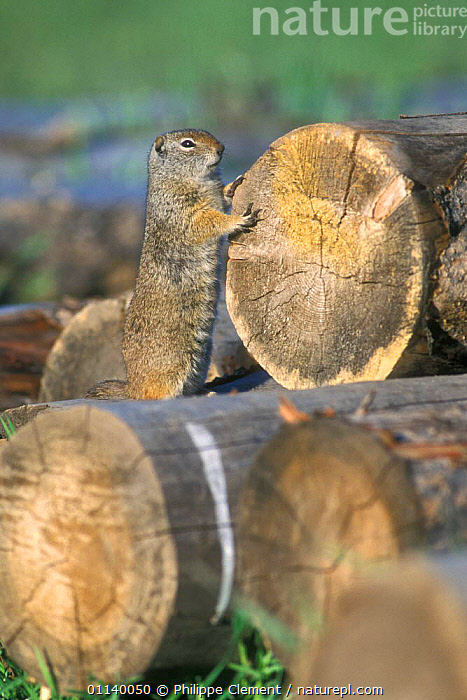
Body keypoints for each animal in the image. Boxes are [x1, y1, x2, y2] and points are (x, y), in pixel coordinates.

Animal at [85, 128, 259, 400]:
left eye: (208, 132)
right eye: (187, 144)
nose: (220, 148)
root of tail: (132, 388)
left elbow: (223, 196)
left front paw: (234, 184)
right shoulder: (185, 212)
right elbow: (211, 221)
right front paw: (240, 219)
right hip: (173, 367)